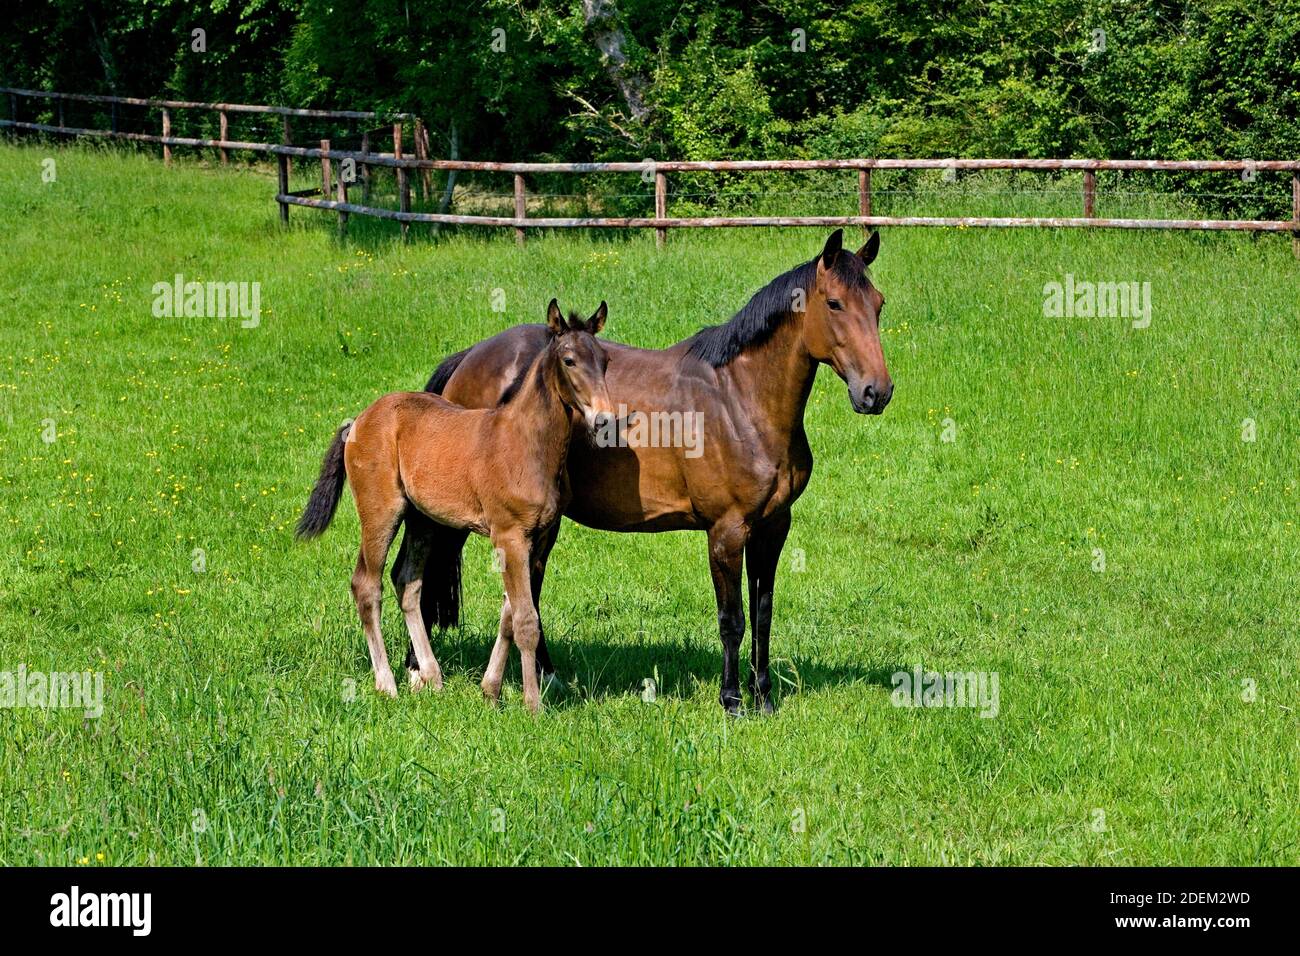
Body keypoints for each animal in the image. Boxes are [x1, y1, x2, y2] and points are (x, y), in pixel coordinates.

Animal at [296, 300, 614, 712]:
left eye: (605, 359)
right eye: (569, 359)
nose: (605, 419)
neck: (525, 442)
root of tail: (358, 422)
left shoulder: (538, 537)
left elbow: (509, 614)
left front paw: (490, 690)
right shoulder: (510, 536)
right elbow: (526, 620)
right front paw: (532, 705)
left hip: (424, 520)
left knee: (407, 581)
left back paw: (431, 676)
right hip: (381, 512)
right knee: (366, 585)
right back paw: (387, 684)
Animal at [397, 228, 892, 714]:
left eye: (879, 303)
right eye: (834, 303)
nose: (876, 392)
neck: (739, 401)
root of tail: (470, 357)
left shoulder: (773, 526)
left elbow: (763, 612)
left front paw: (764, 698)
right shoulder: (726, 530)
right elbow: (732, 618)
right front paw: (732, 701)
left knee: (525, 589)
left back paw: (545, 676)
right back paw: (419, 670)